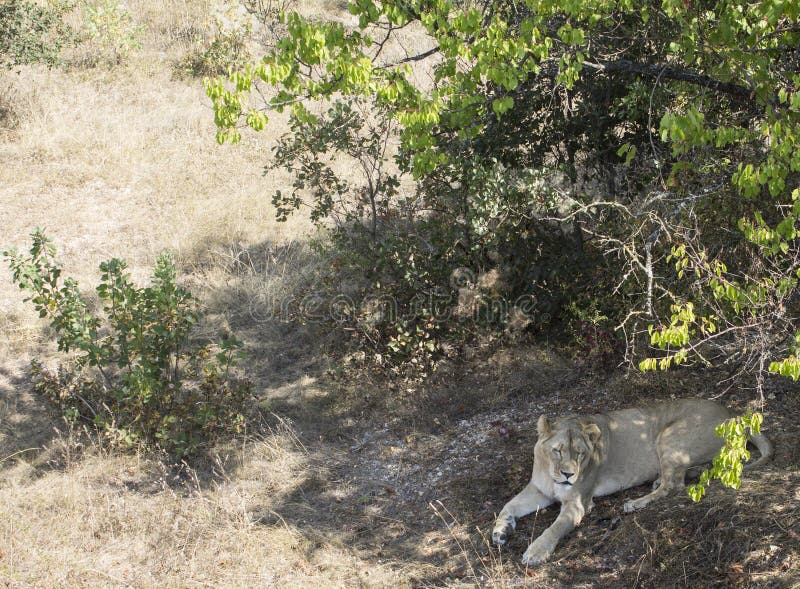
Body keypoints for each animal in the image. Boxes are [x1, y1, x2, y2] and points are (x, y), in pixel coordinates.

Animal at [492, 398, 772, 565]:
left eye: (579, 453)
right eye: (558, 451)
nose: (569, 475)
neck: (552, 475)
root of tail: (733, 415)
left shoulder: (579, 503)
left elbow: (555, 528)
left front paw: (536, 551)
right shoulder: (538, 490)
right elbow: (508, 505)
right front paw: (501, 531)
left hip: (670, 435)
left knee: (674, 485)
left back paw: (635, 503)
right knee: (690, 473)